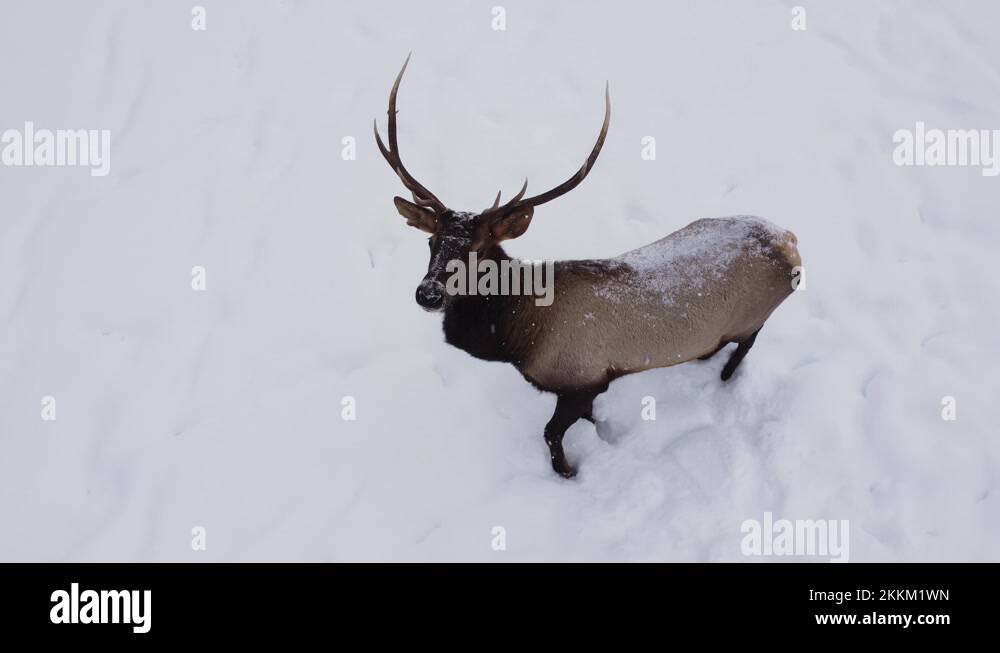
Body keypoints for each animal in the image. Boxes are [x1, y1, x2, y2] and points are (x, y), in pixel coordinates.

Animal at [375, 56, 801, 478]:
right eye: (431, 242)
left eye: (478, 250)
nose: (428, 294)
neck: (517, 338)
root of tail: (790, 242)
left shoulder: (584, 379)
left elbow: (551, 434)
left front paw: (570, 472)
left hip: (753, 314)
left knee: (747, 343)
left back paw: (725, 377)